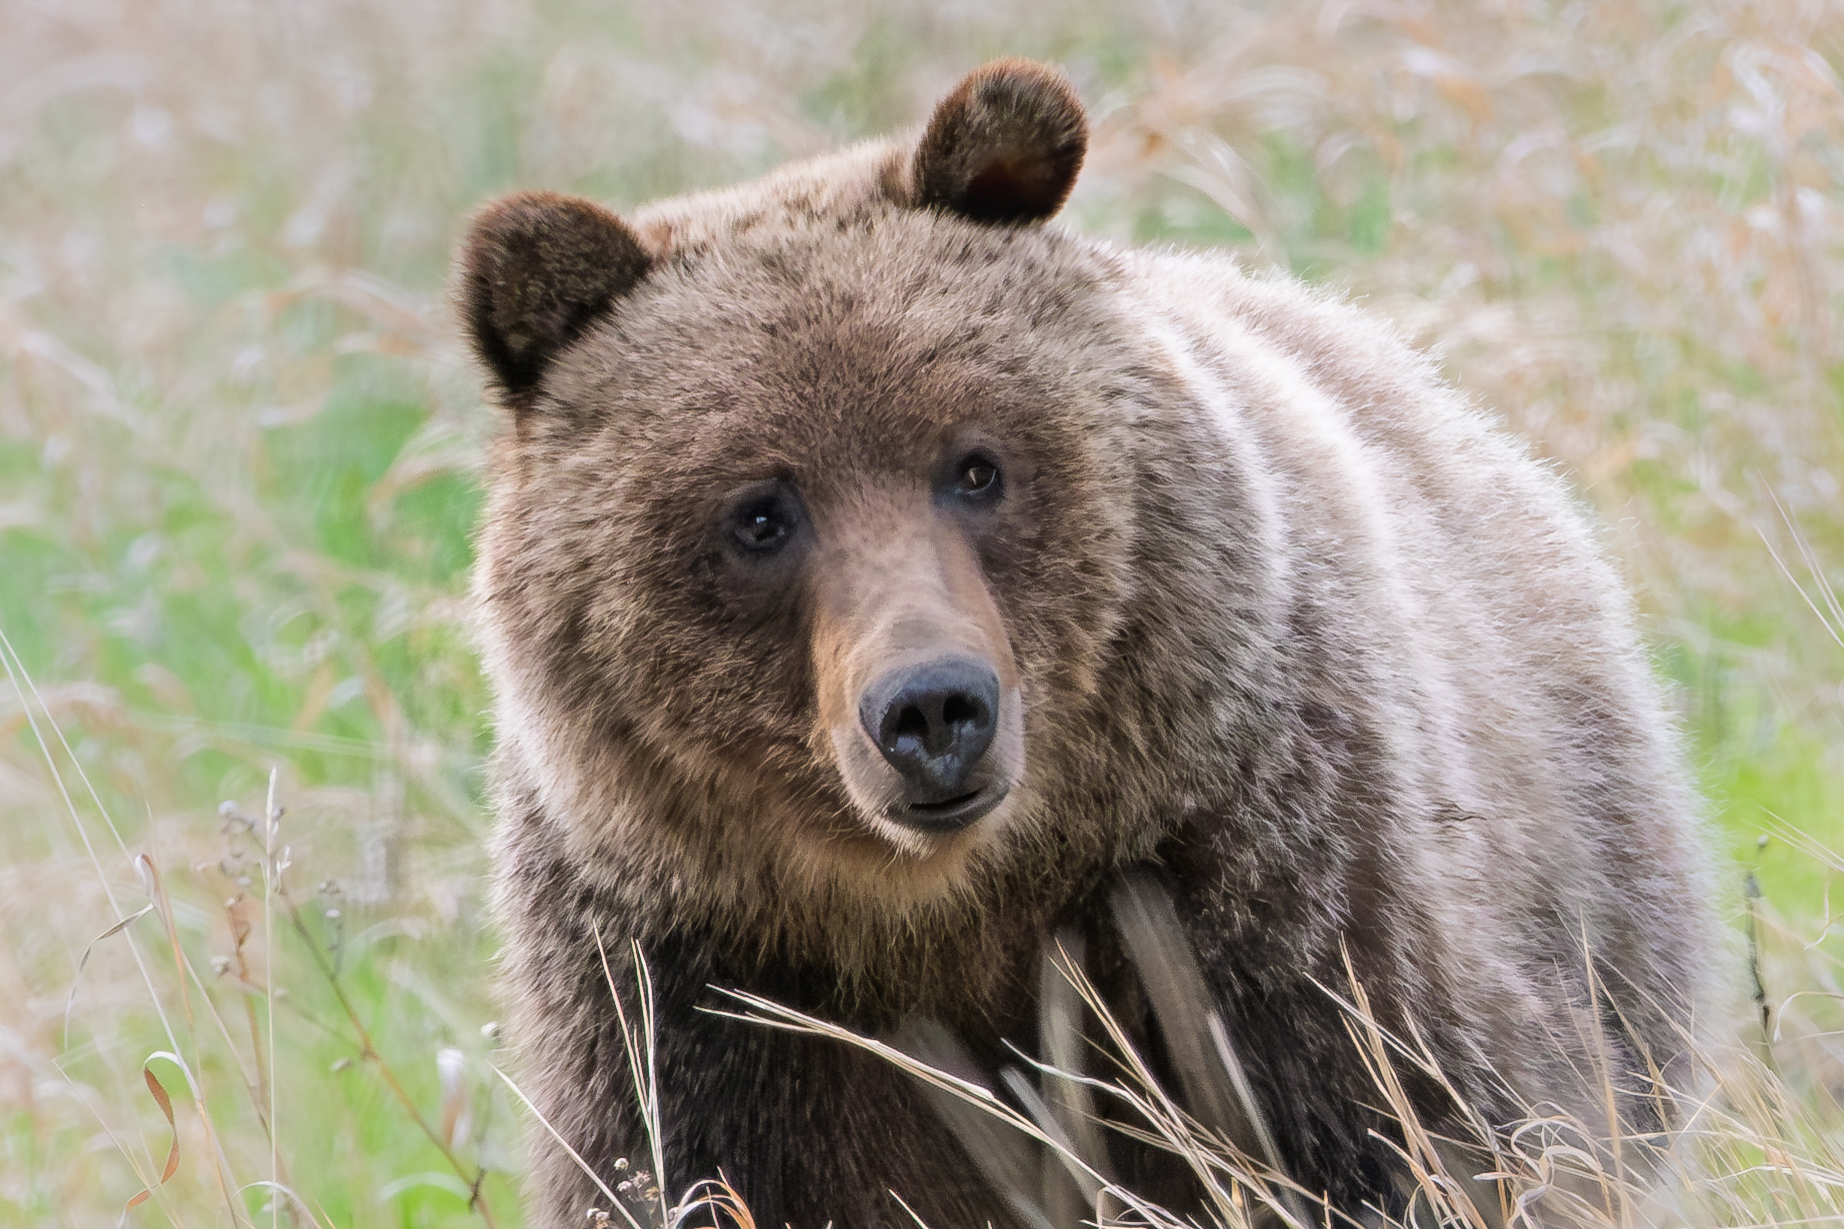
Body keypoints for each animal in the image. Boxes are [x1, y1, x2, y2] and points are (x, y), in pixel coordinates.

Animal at [458, 58, 1717, 1229]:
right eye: (758, 512)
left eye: (975, 464)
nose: (932, 709)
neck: (955, 914)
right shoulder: (700, 1011)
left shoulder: (1269, 918)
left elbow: (1418, 1128)